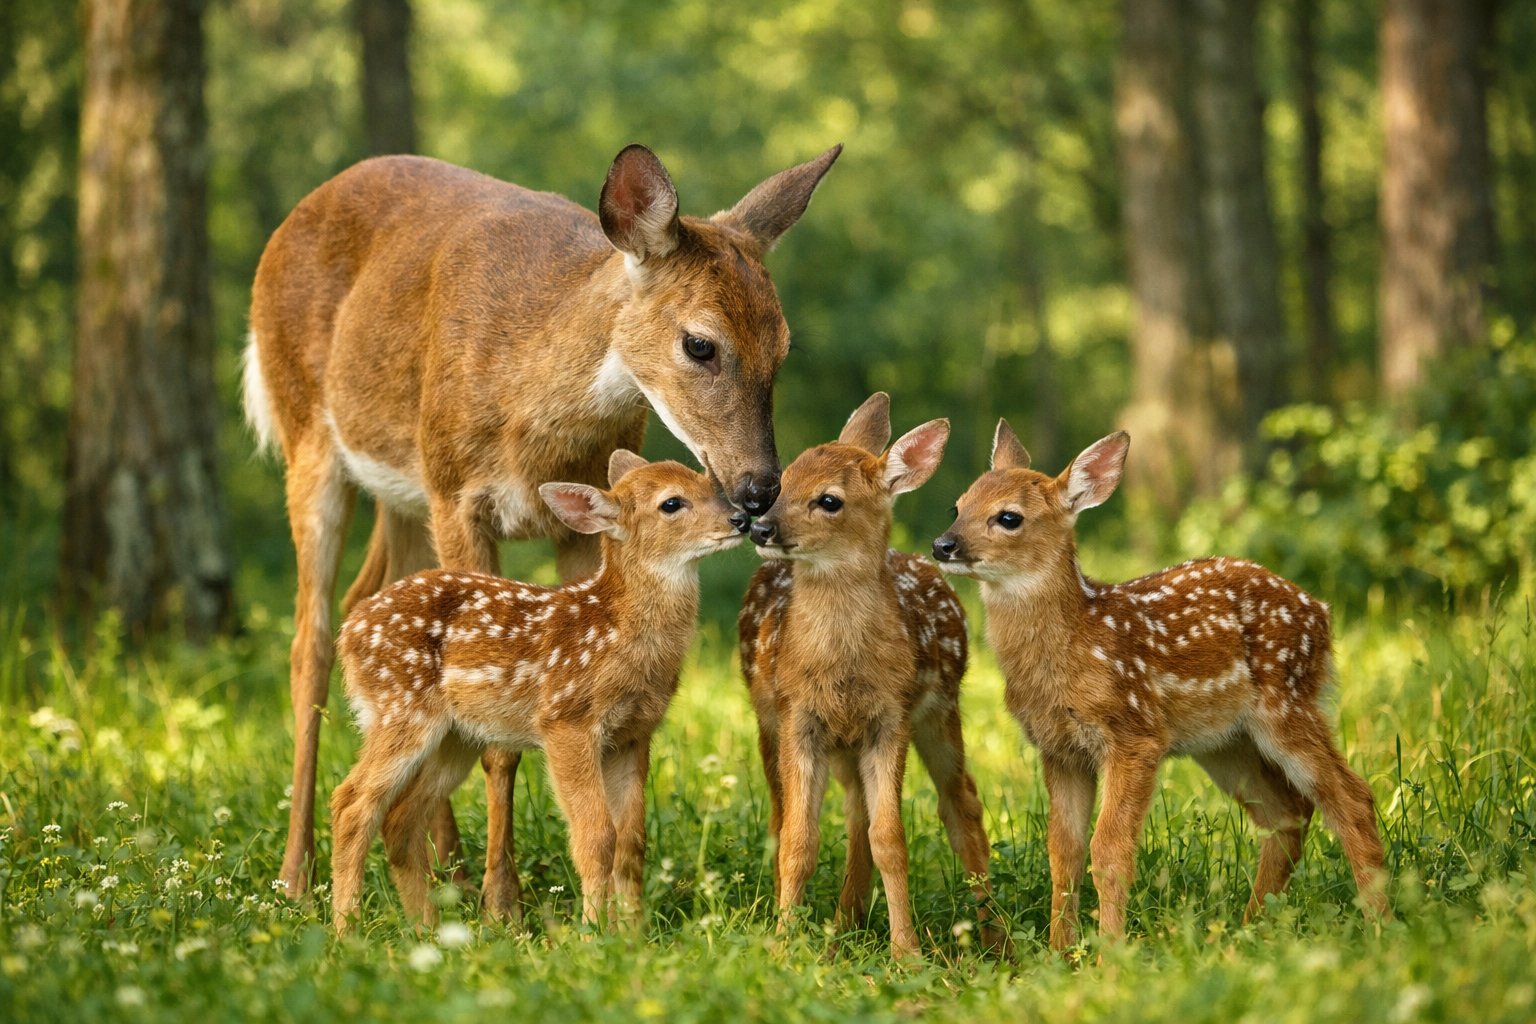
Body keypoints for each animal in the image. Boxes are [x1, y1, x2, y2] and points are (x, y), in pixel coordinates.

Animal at [329, 450, 746, 932]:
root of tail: (349, 631)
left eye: (709, 483)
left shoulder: (634, 733)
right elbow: (596, 837)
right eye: (672, 503)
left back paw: (427, 929)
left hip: (456, 737)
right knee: (351, 803)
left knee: (399, 818)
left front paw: (633, 933)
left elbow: (632, 840)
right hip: (400, 707)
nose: (740, 518)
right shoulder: (566, 720)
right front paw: (592, 932)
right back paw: (347, 929)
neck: (617, 634)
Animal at [738, 393, 1000, 959]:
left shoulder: (890, 718)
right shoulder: (799, 718)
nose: (761, 527)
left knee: (962, 806)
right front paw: (783, 944)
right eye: (783, 482)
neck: (843, 667)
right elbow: (800, 838)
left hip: (940, 711)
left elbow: (890, 839)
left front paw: (907, 952)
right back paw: (841, 925)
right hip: (774, 723)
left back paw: (996, 940)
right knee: (799, 814)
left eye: (829, 500)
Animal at [932, 422, 1388, 950]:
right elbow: (1062, 852)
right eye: (958, 505)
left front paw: (1109, 953)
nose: (943, 545)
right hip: (1225, 743)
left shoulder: (1134, 733)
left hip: (1288, 701)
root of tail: (1322, 612)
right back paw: (1247, 929)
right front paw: (1059, 953)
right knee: (1287, 814)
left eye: (1009, 517)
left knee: (1351, 798)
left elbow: (1109, 849)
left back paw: (1380, 924)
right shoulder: (1059, 749)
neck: (1075, 644)